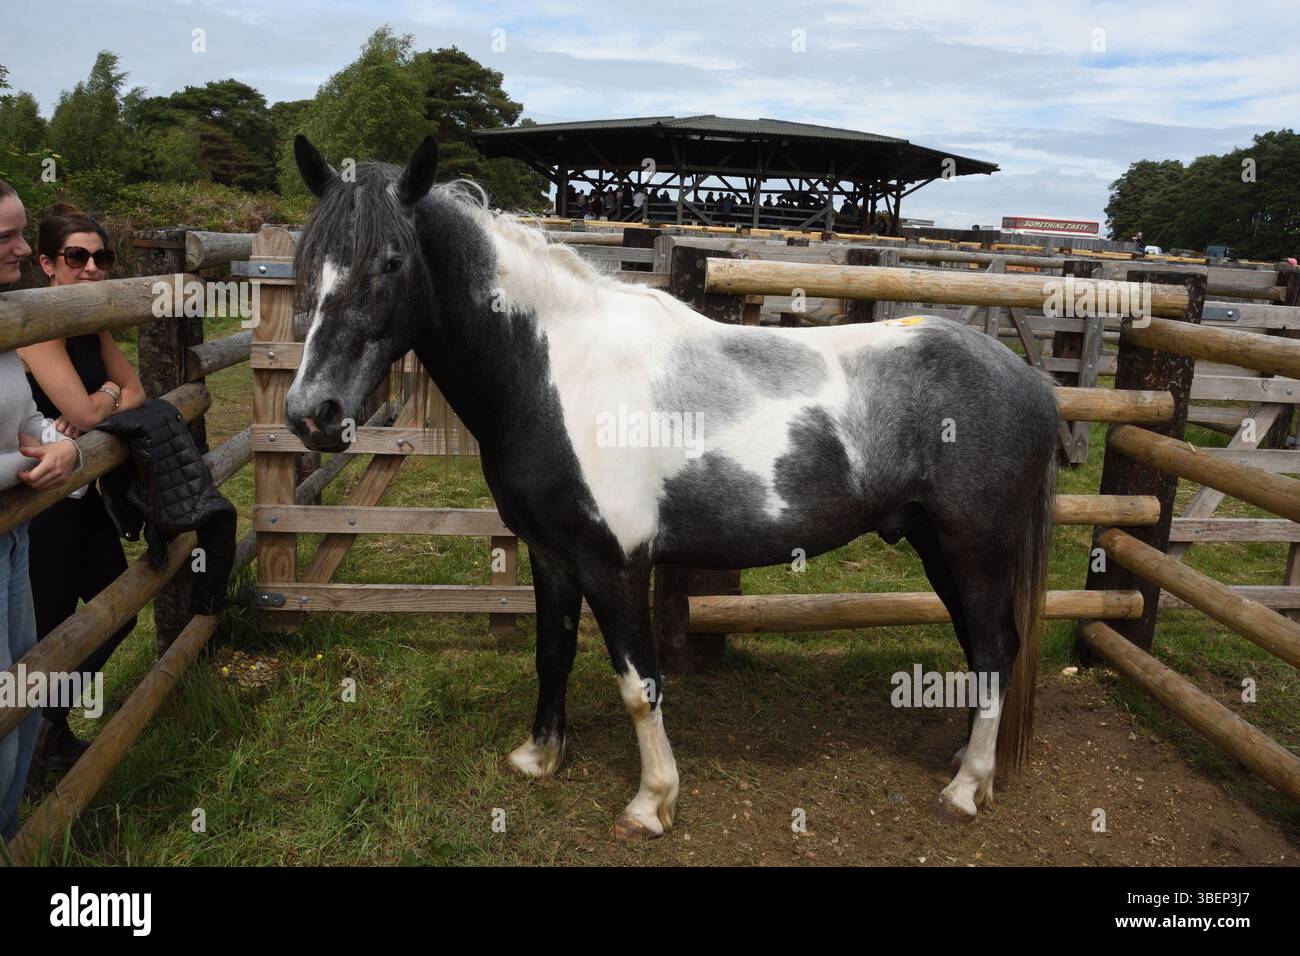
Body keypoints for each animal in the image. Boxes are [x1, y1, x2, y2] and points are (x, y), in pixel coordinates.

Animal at [283, 135, 1060, 837]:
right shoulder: (552, 555)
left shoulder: (616, 563)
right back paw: (966, 763)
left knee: (995, 649)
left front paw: (651, 803)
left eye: (391, 261)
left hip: (974, 548)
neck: (557, 373)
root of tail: (1029, 380)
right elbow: (552, 653)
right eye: (306, 261)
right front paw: (539, 759)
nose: (311, 413)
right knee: (982, 649)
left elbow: (638, 685)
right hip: (938, 546)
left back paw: (966, 789)